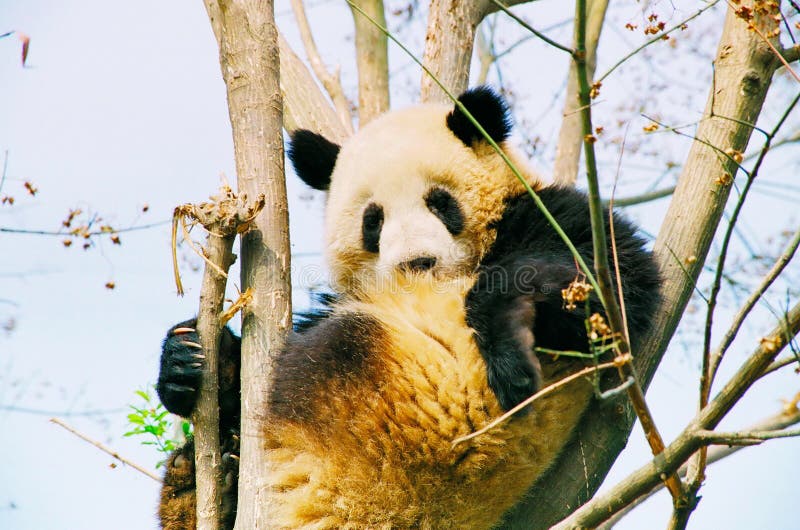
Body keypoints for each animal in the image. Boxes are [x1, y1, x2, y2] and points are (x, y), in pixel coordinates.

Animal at [156, 87, 660, 529]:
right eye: (373, 220)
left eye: (440, 202)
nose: (415, 263)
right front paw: (189, 359)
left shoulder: (549, 210)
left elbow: (611, 279)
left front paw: (508, 345)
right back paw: (197, 483)